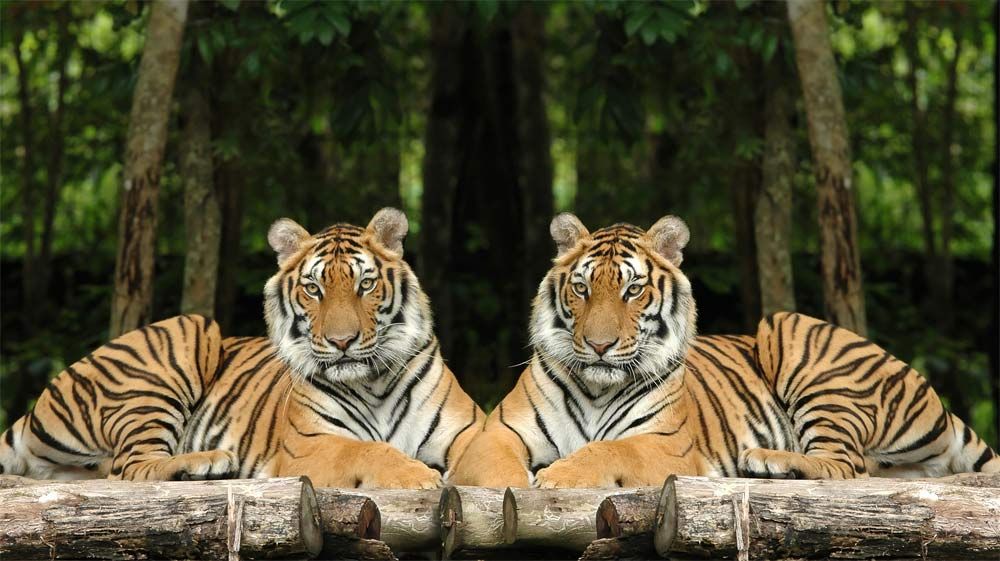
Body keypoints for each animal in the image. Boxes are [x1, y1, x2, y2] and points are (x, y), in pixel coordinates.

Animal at [0, 208, 484, 488]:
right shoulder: (307, 447)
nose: (341, 342)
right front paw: (418, 476)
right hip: (186, 336)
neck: (373, 383)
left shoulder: (469, 430)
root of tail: (35, 405)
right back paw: (208, 462)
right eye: (313, 289)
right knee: (131, 467)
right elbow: (367, 449)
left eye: (365, 285)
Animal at [449, 212, 999, 487]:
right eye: (582, 289)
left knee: (846, 465)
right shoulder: (497, 432)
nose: (600, 346)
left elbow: (608, 449)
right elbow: (497, 472)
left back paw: (768, 460)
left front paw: (560, 475)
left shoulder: (666, 445)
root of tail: (935, 397)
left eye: (632, 290)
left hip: (790, 332)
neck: (597, 389)